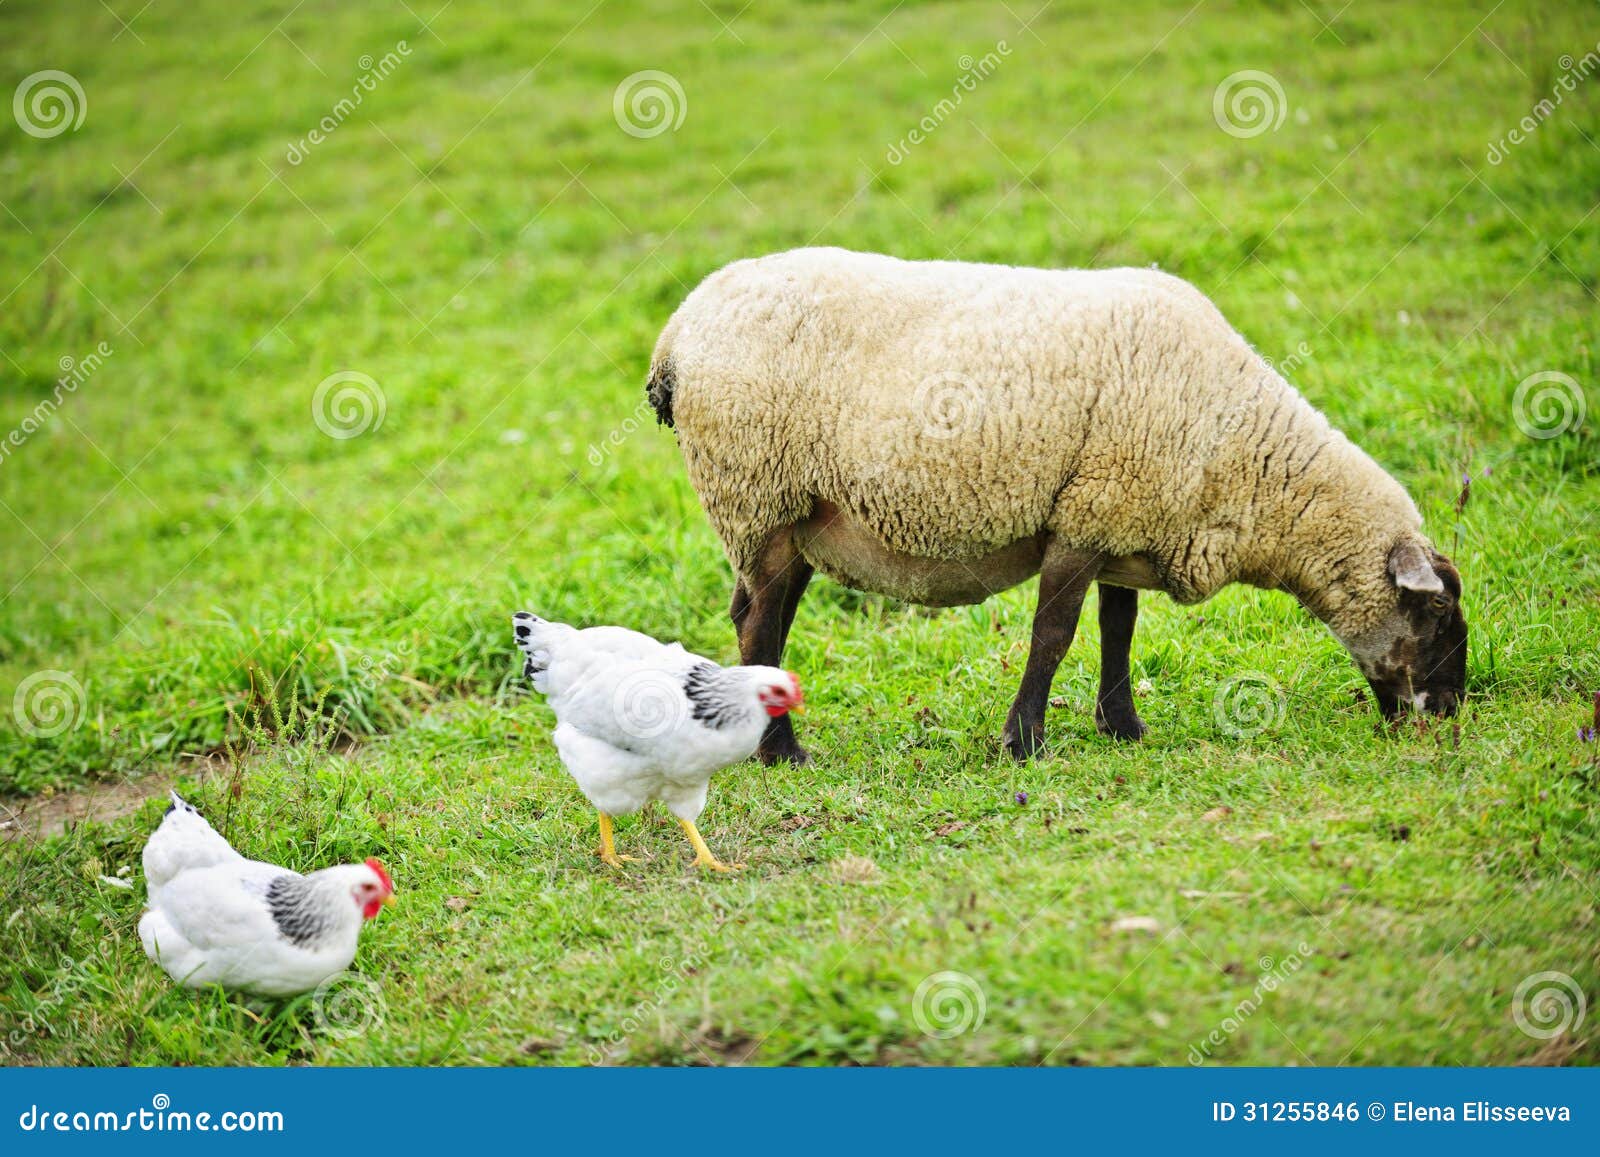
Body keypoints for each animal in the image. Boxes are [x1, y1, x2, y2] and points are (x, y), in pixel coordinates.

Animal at [646, 247, 1467, 763]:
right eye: (1433, 610)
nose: (1454, 710)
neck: (1243, 462)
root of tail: (677, 334)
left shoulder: (1121, 518)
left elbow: (1117, 632)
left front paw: (1123, 727)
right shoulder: (1085, 520)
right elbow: (1054, 636)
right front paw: (1025, 743)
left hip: (789, 515)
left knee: (758, 614)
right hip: (757, 490)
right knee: (759, 623)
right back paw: (782, 754)